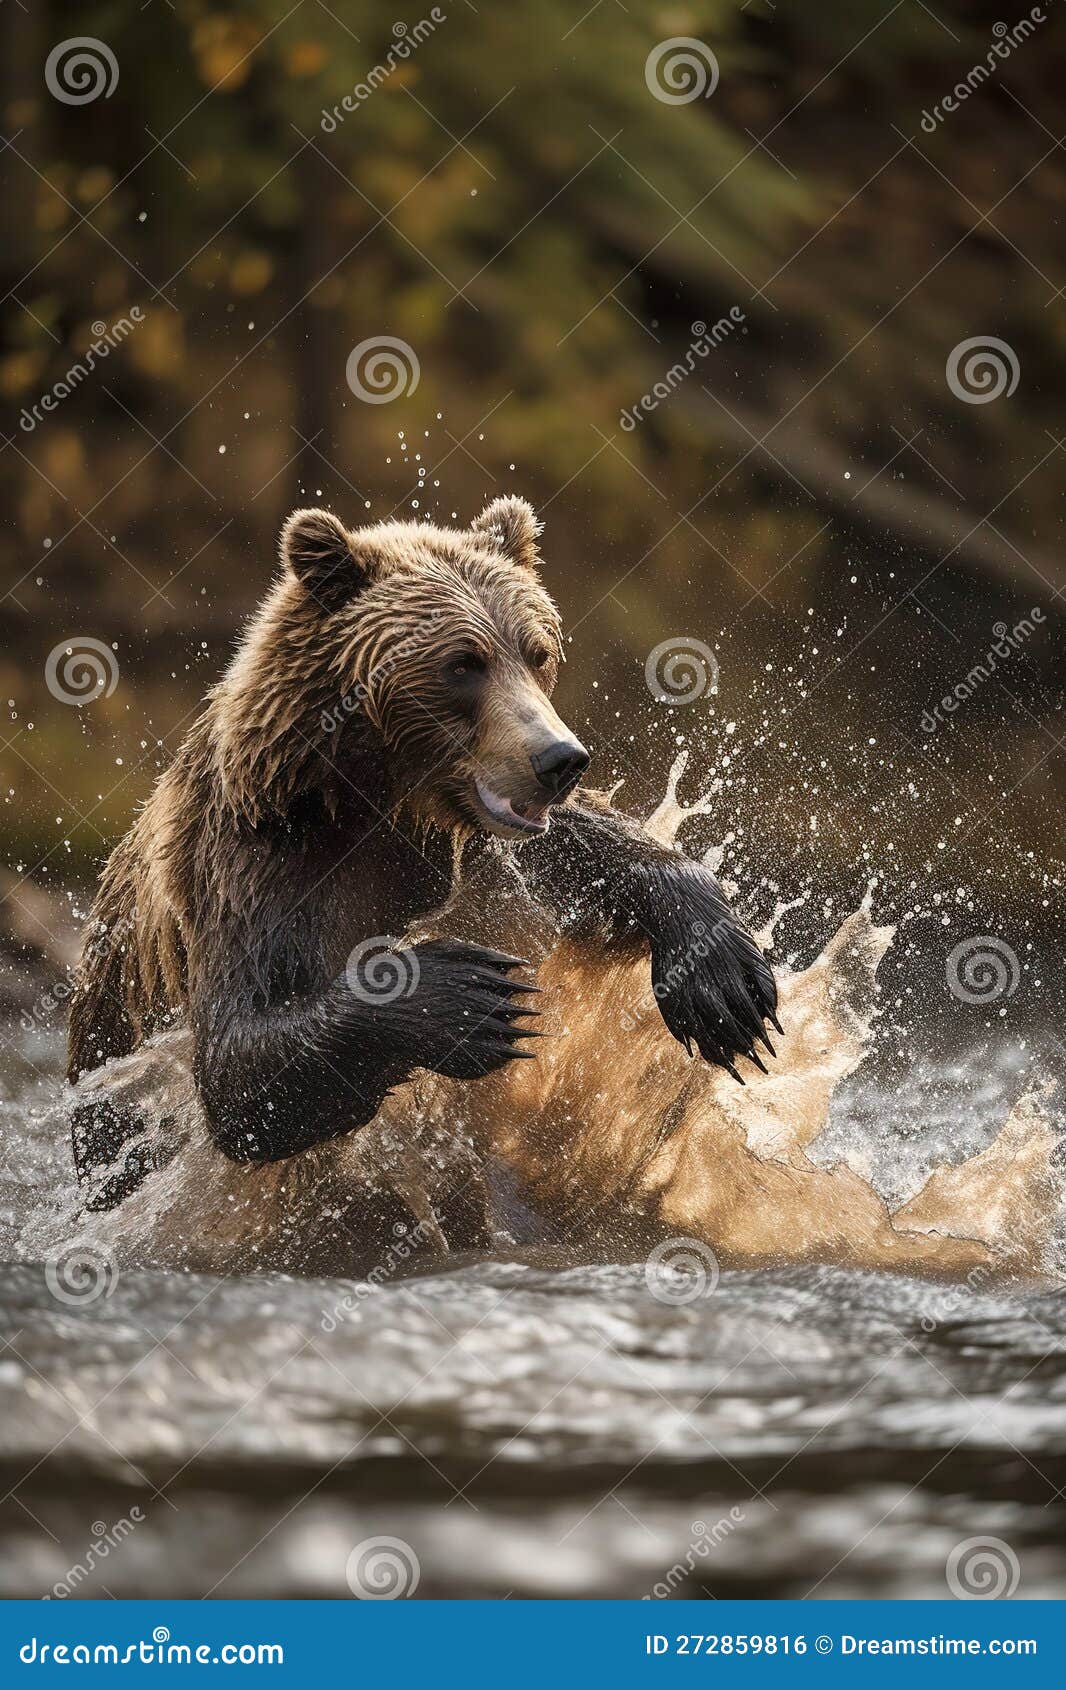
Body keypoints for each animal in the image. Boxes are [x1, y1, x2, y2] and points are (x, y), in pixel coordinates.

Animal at [66, 496, 778, 1261]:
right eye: (463, 663)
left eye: (537, 651)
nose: (559, 758)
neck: (381, 802)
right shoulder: (257, 865)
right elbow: (243, 1070)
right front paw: (471, 993)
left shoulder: (490, 850)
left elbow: (600, 853)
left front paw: (724, 980)